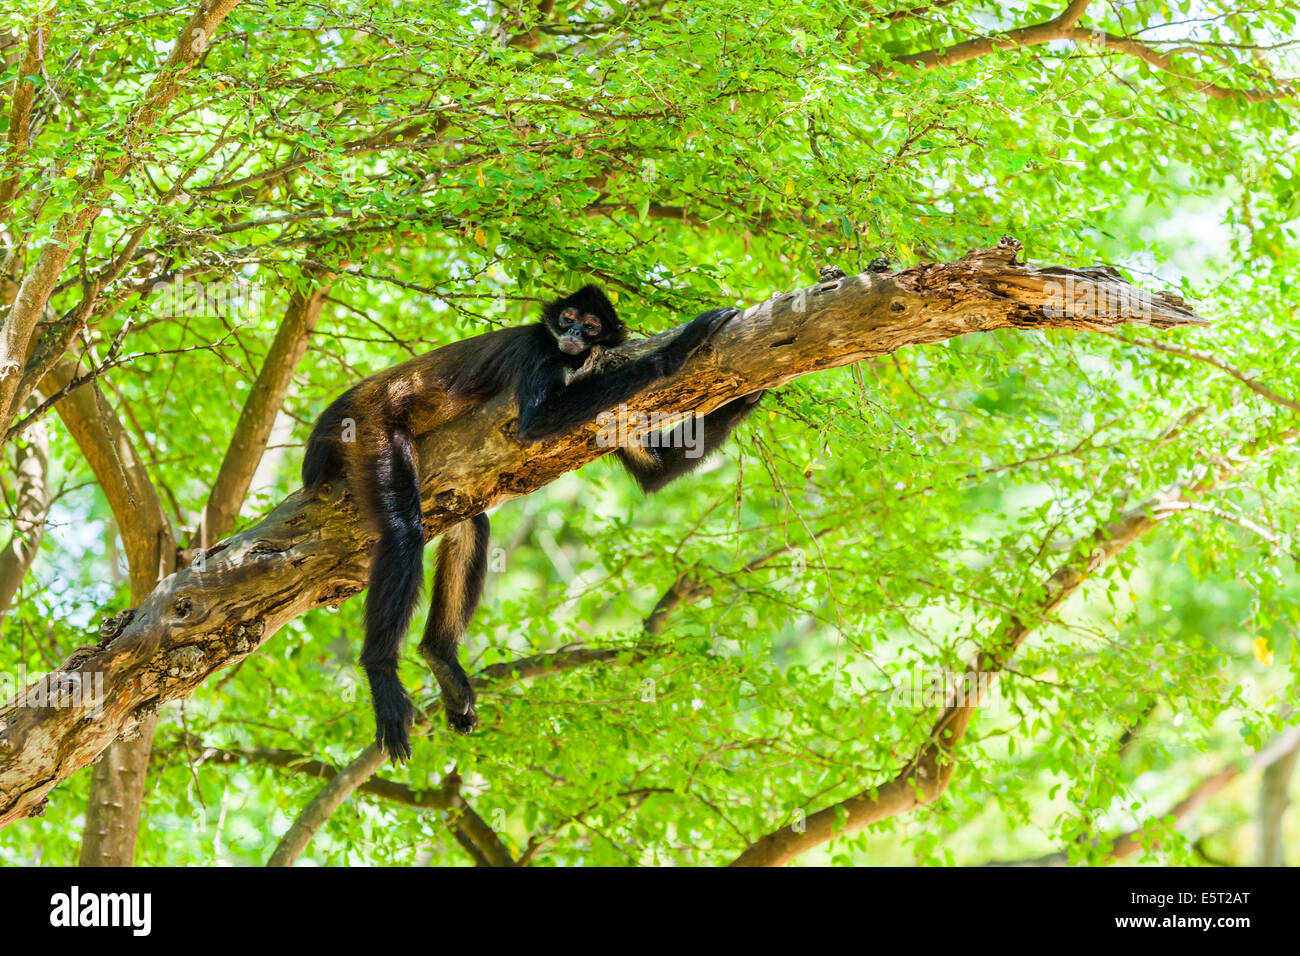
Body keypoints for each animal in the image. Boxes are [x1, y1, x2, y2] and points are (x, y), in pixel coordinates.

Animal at [302, 285, 763, 761]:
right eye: (568, 319)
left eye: (591, 326)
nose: (574, 335)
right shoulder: (536, 349)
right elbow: (538, 421)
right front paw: (679, 348)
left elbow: (653, 474)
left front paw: (750, 396)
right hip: (370, 432)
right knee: (404, 532)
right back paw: (381, 672)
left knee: (471, 524)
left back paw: (440, 657)